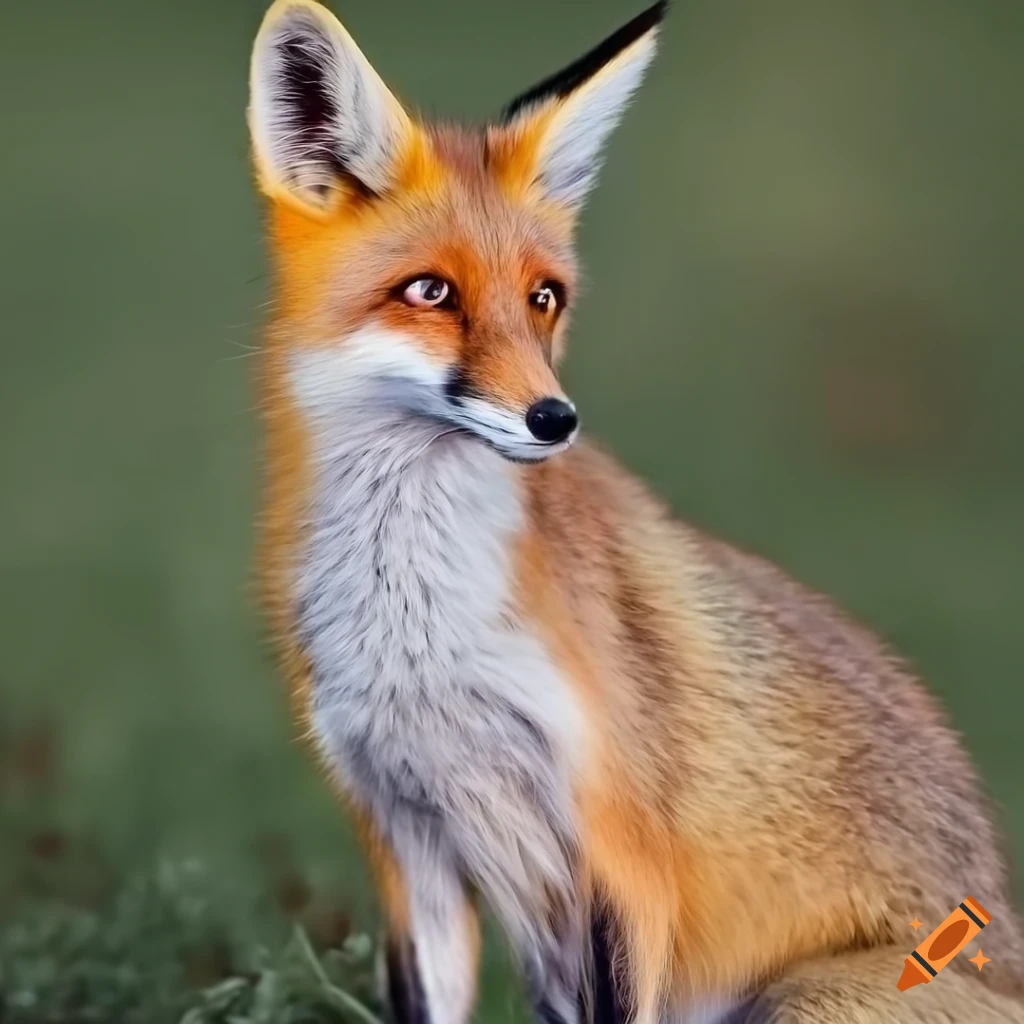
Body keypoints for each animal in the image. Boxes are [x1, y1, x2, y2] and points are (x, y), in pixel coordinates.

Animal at [245, 1, 1024, 1021]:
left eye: (544, 298)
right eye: (430, 291)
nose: (554, 419)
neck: (425, 651)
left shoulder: (621, 849)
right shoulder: (404, 845)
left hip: (799, 997)